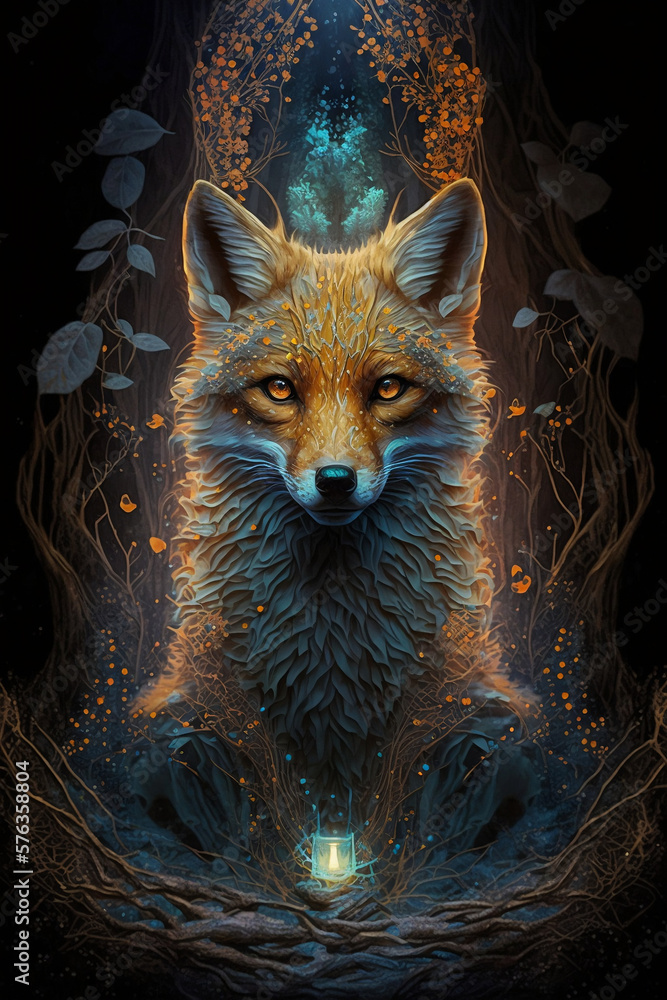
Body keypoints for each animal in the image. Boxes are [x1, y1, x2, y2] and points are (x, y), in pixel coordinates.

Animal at [137, 176, 528, 825]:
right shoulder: (195, 702)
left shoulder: (470, 699)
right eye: (279, 389)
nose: (336, 480)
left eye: (388, 388)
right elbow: (198, 752)